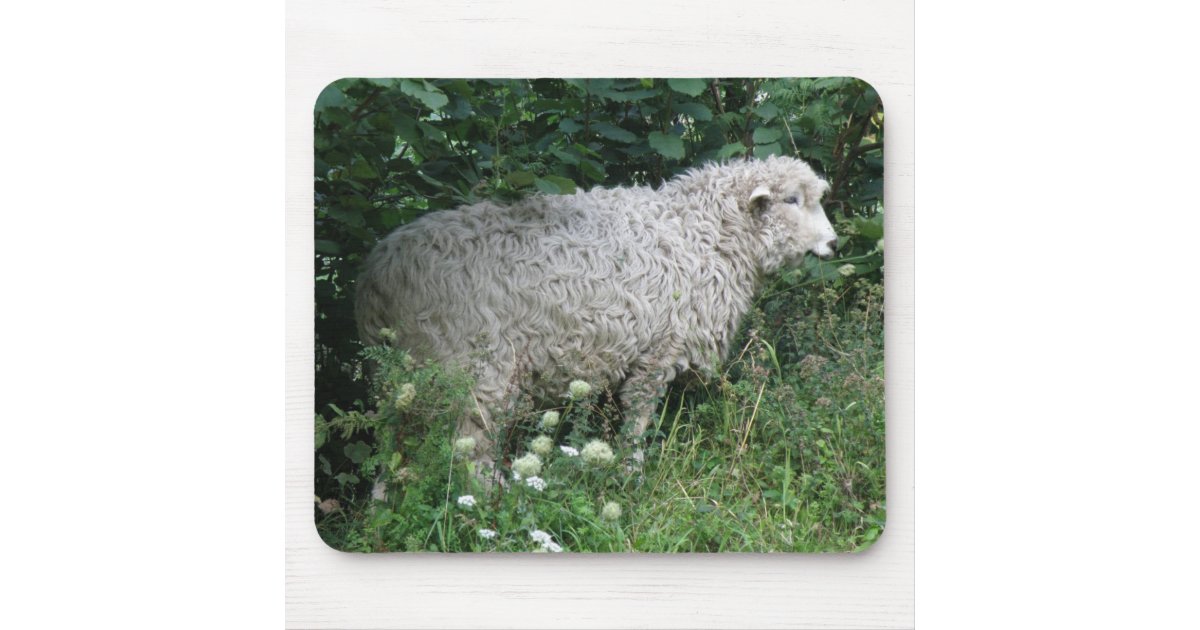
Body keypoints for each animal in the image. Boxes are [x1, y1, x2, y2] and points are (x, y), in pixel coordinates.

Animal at [355, 155, 838, 473]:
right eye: (792, 200)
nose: (834, 244)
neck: (704, 233)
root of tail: (377, 275)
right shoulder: (659, 350)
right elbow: (637, 420)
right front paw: (631, 474)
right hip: (474, 366)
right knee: (470, 447)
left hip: (402, 378)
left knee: (391, 445)